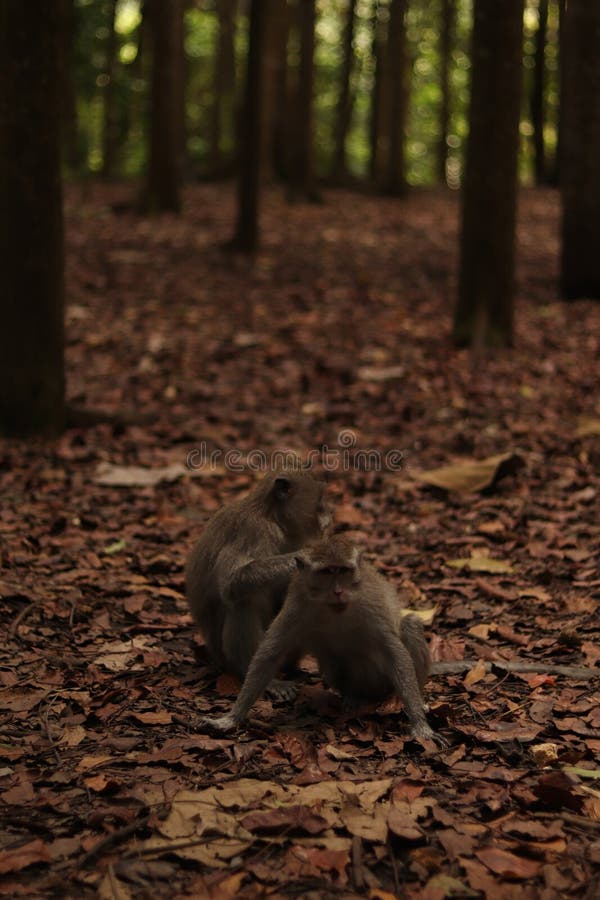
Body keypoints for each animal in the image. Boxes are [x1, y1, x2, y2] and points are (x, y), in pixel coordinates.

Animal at [186, 467, 330, 696]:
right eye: (319, 501)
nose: (328, 517)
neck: (272, 517)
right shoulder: (254, 531)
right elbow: (231, 583)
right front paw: (312, 556)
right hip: (226, 656)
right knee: (242, 602)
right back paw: (257, 676)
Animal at [200, 535, 445, 744]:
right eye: (327, 572)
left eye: (343, 571)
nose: (338, 591)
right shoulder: (298, 602)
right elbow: (270, 653)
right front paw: (231, 718)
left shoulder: (370, 604)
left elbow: (392, 651)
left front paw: (420, 725)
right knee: (334, 661)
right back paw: (354, 696)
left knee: (410, 624)